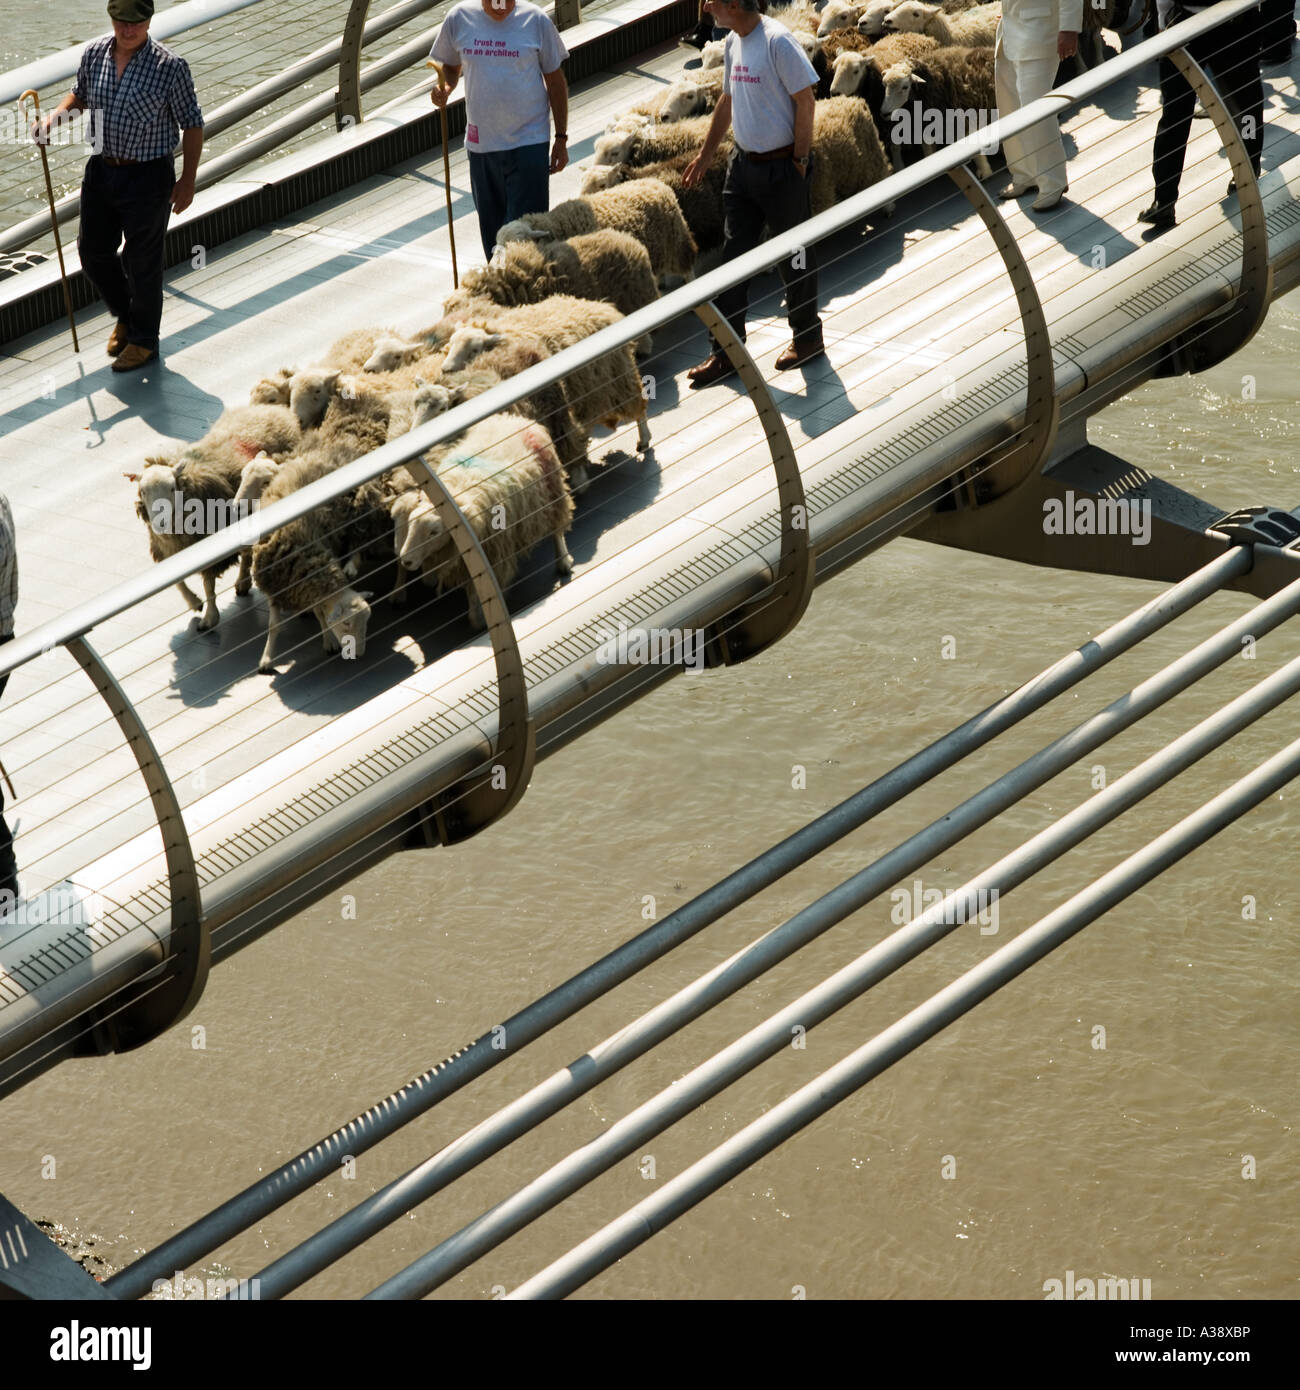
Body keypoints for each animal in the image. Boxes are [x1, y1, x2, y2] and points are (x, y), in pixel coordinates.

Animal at [391, 414, 574, 629]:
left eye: (434, 532)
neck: (454, 496)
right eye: (411, 523)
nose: (406, 559)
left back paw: (563, 560)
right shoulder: (467, 558)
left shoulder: (491, 553)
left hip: (552, 486)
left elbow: (481, 590)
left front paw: (482, 620)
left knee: (557, 529)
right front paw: (478, 618)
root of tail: (515, 419)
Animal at [496, 179, 697, 282]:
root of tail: (657, 182)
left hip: (676, 240)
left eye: (519, 244)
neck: (553, 225)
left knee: (687, 269)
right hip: (657, 243)